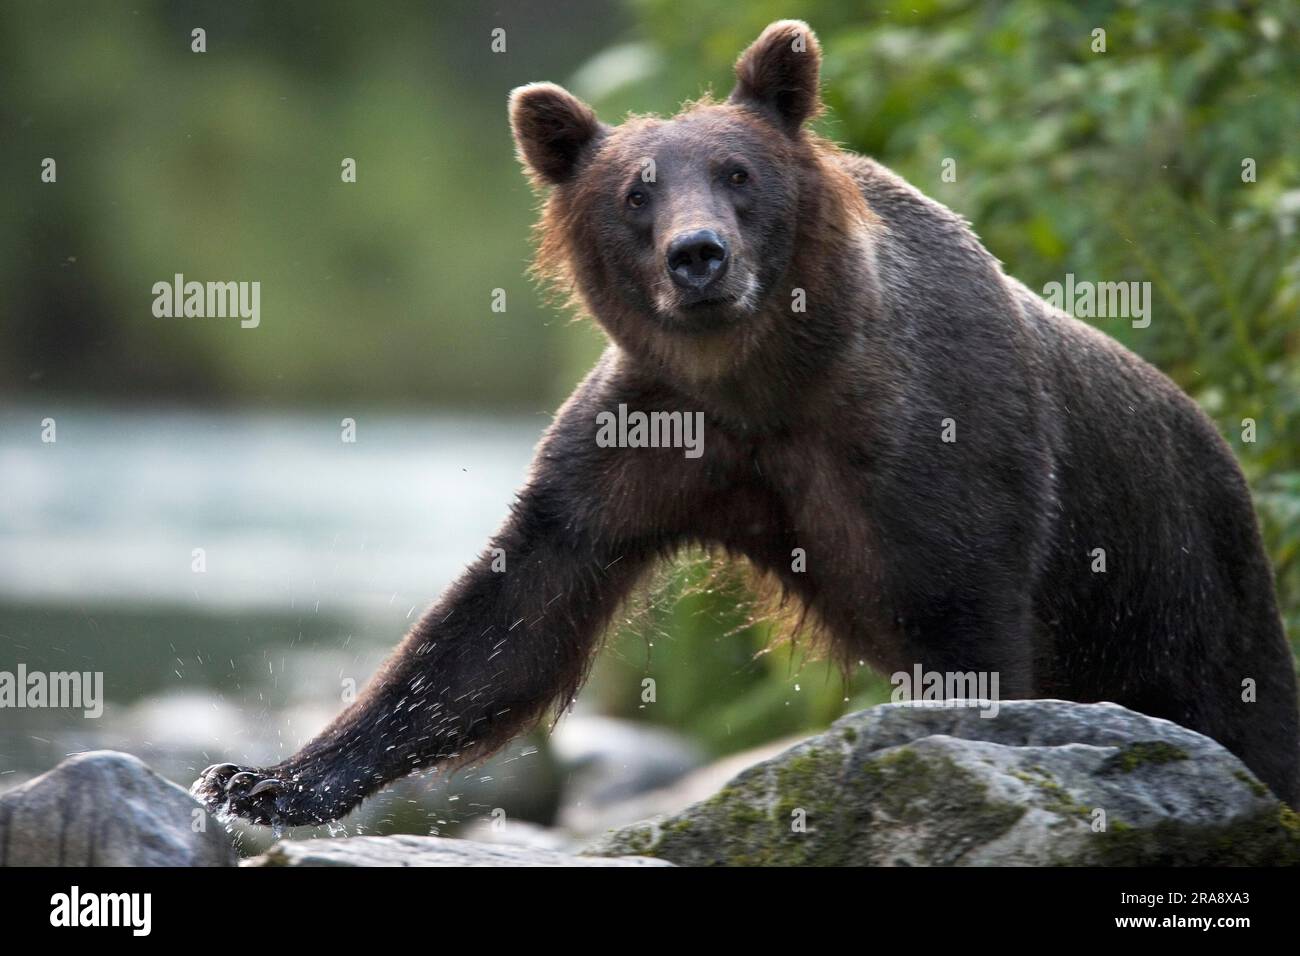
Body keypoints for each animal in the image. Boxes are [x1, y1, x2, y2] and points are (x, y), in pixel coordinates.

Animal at [194, 20, 1299, 824]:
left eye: (736, 172)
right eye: (635, 192)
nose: (698, 256)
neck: (770, 379)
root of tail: (1222, 441)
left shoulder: (939, 450)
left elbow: (967, 626)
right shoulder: (651, 441)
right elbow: (505, 621)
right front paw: (263, 778)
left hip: (1184, 584)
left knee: (1239, 708)